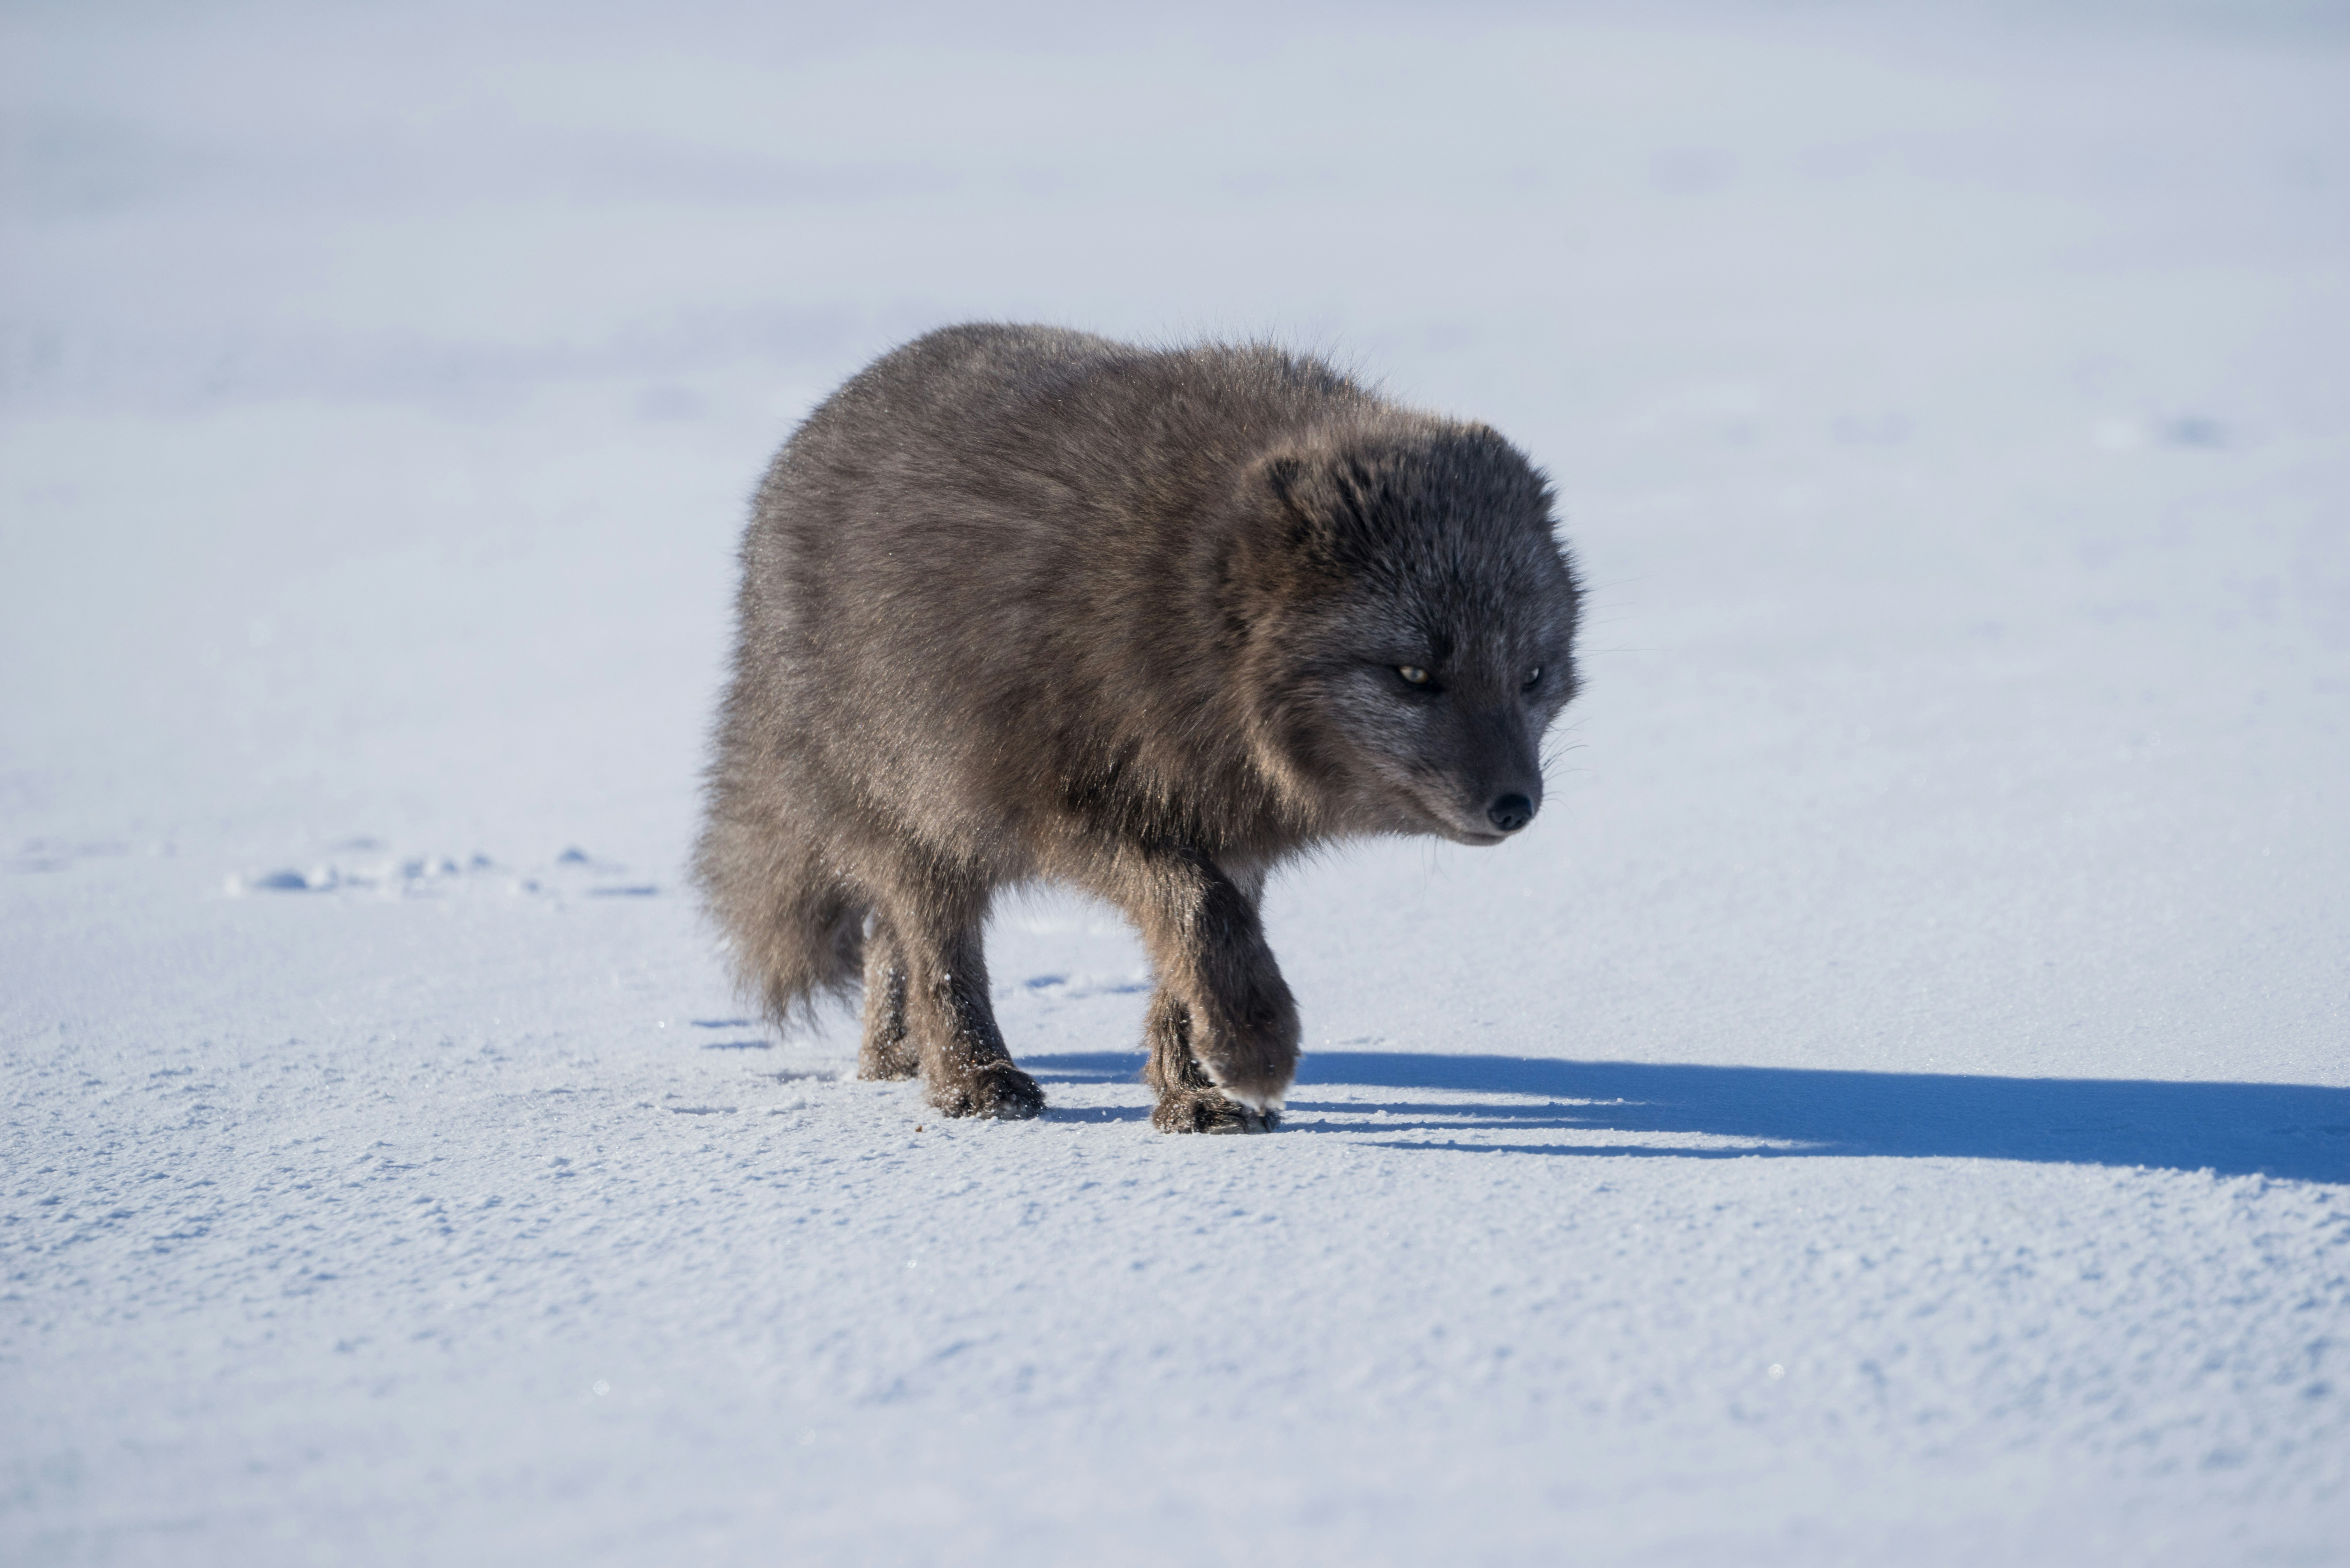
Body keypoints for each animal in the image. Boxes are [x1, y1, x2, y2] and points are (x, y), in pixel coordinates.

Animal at [695, 324, 1582, 1132]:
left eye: (1532, 676)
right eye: (1413, 674)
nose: (1516, 805)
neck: (1186, 609)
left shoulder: (1231, 827)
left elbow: (1194, 951)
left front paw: (1198, 1092)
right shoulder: (1069, 807)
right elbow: (1196, 910)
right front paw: (1255, 1048)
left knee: (890, 943)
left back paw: (890, 1061)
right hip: (918, 808)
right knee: (935, 947)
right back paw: (972, 1080)